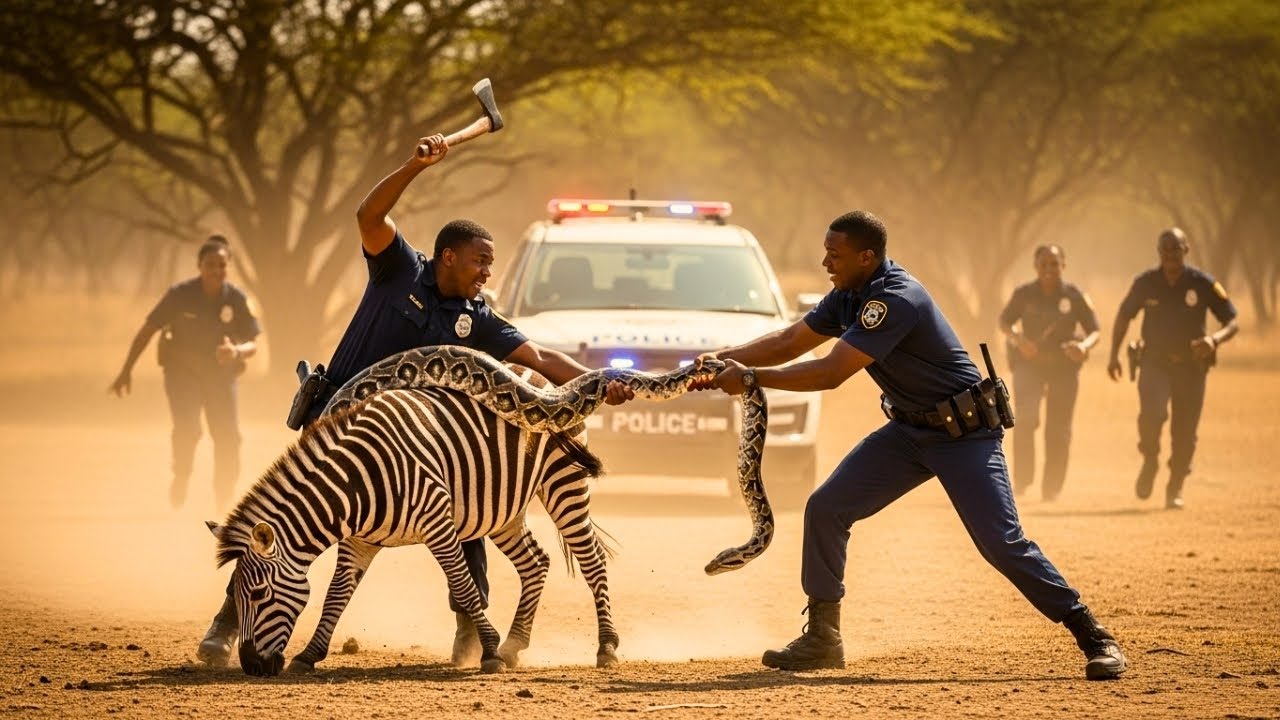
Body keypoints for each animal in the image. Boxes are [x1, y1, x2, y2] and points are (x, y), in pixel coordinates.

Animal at [206, 384, 616, 676]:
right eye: (235, 595)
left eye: (258, 594)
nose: (252, 667)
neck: (357, 479)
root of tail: (544, 383)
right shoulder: (359, 542)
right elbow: (335, 596)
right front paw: (308, 655)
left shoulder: (438, 523)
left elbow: (465, 589)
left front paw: (488, 651)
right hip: (503, 509)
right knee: (536, 562)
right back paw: (515, 644)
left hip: (564, 482)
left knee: (593, 561)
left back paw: (606, 647)